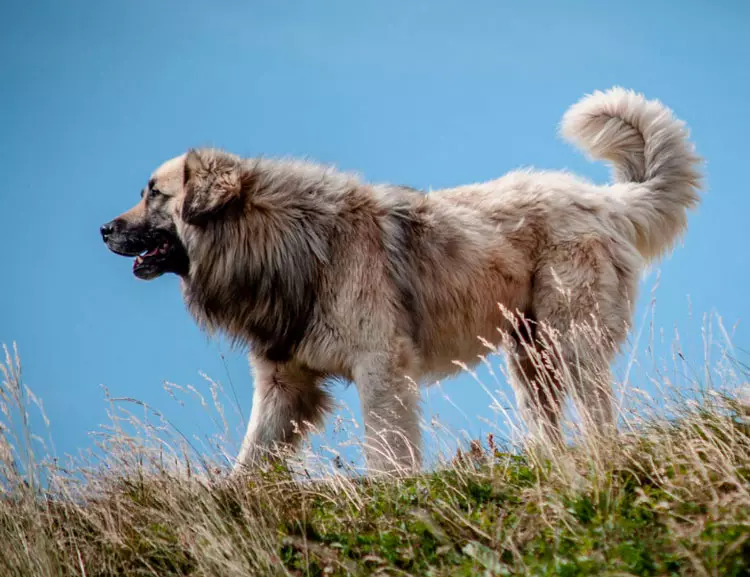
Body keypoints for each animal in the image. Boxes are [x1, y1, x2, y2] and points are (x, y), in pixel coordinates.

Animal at [101, 86, 704, 472]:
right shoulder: (284, 387)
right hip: (531, 359)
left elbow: (388, 454)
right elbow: (248, 465)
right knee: (548, 423)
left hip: (570, 340)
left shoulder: (381, 369)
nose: (105, 229)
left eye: (154, 194)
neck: (278, 239)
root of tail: (604, 200)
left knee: (599, 414)